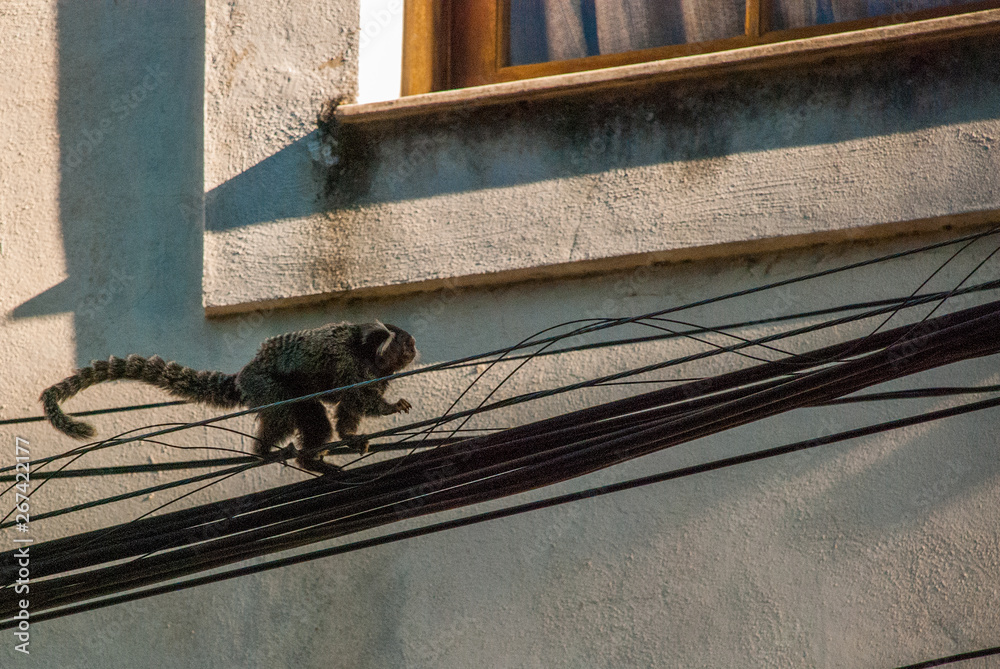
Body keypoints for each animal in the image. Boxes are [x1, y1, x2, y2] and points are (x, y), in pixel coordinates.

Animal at [40, 321, 418, 475]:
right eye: (407, 343)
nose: (416, 349)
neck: (369, 354)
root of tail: (243, 373)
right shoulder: (348, 362)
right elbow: (352, 395)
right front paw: (388, 410)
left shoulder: (377, 373)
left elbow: (348, 409)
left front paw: (352, 436)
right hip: (264, 385)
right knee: (282, 411)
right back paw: (266, 452)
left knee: (312, 418)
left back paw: (310, 460)